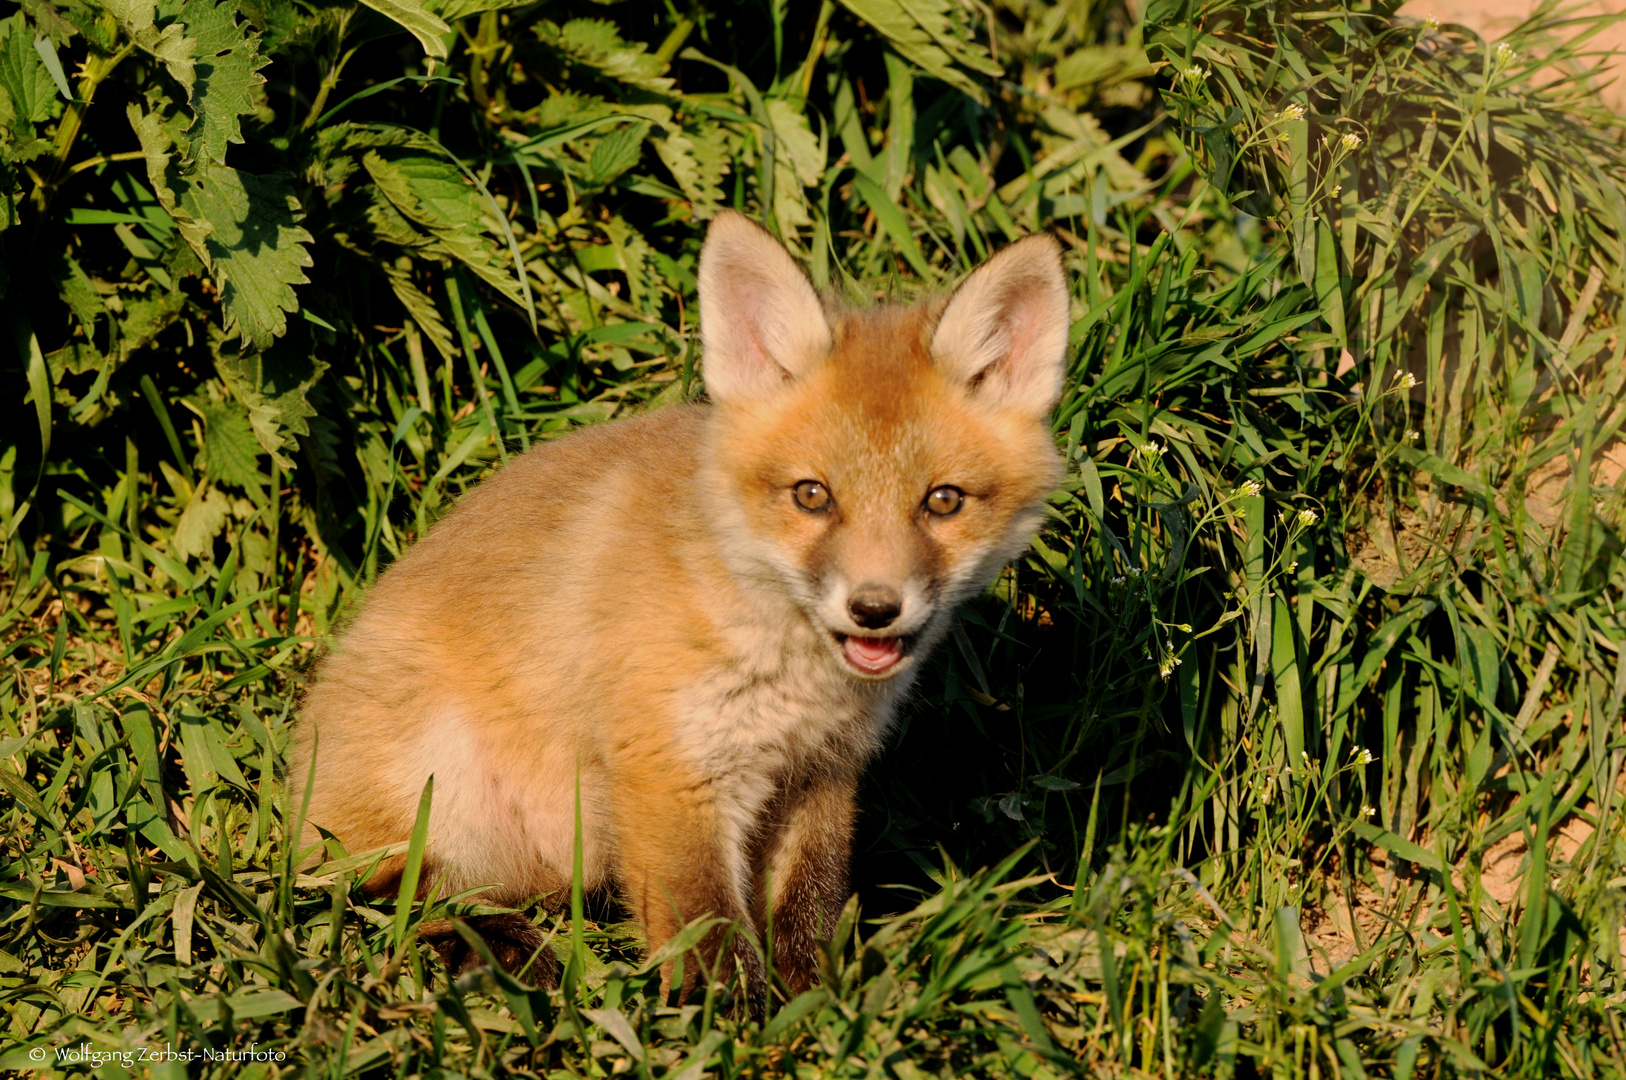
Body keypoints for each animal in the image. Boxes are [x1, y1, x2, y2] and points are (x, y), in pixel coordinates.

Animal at [289, 210, 1070, 1000]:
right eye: (812, 496)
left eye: (942, 502)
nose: (874, 608)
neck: (787, 672)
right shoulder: (669, 770)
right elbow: (708, 933)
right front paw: (736, 1019)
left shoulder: (819, 772)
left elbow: (808, 905)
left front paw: (818, 1004)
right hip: (429, 799)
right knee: (400, 894)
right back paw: (498, 948)